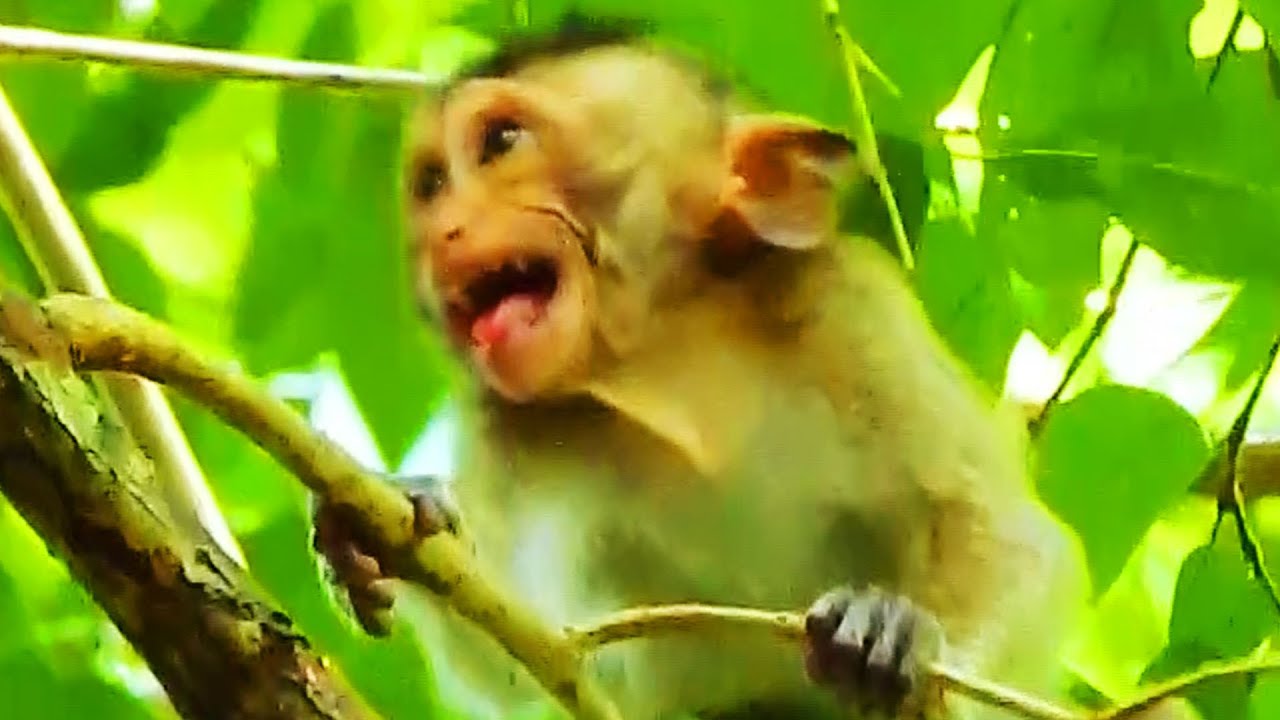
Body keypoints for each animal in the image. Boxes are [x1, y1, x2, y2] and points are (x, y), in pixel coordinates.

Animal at [313, 19, 1194, 720]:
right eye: (431, 184)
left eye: (500, 145)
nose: (440, 233)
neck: (670, 364)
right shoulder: (506, 427)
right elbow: (532, 654)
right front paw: (401, 516)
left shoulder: (855, 312)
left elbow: (1008, 536)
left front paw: (905, 632)